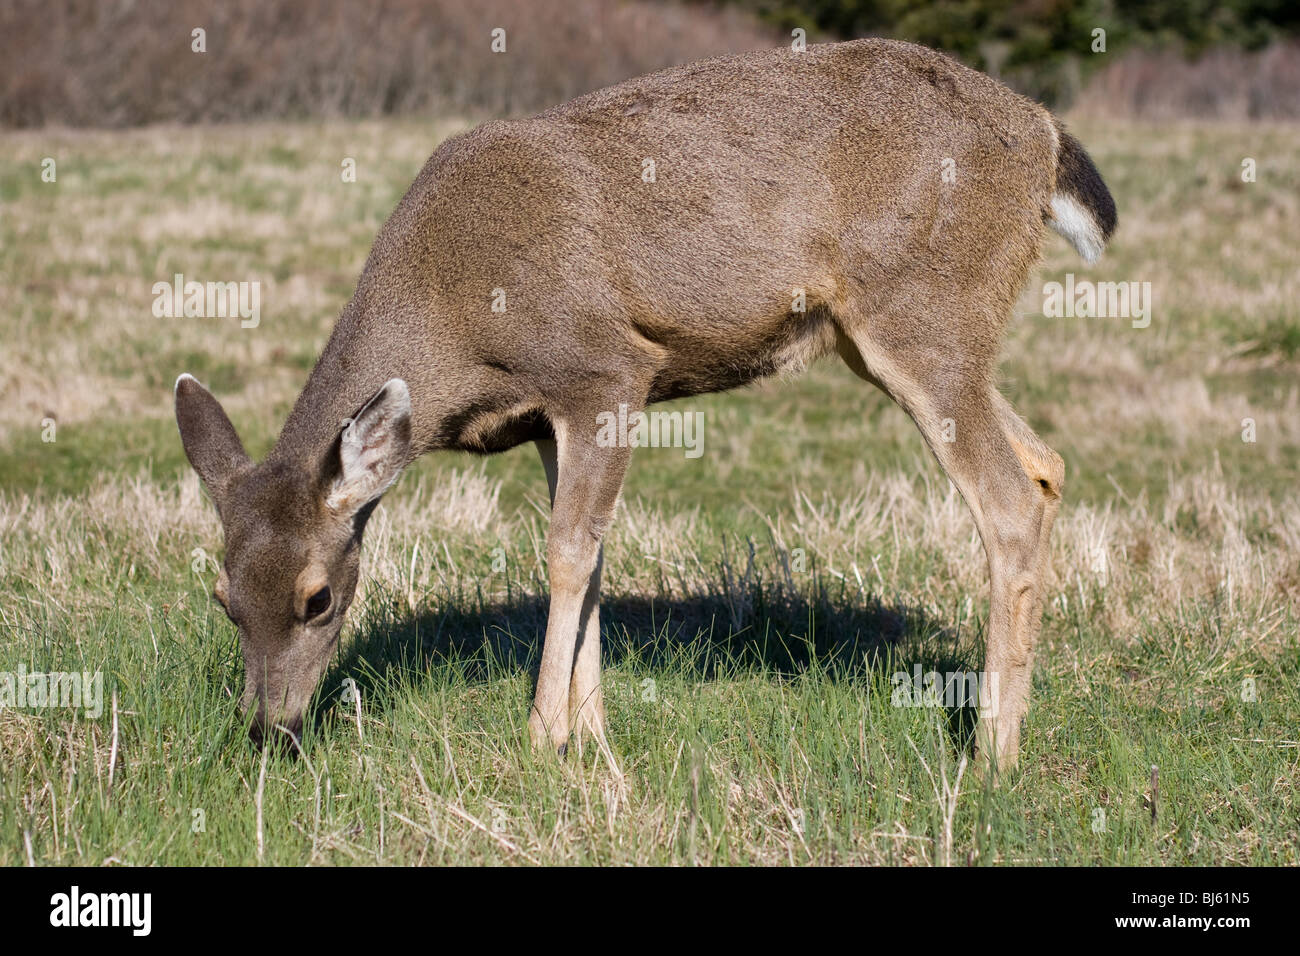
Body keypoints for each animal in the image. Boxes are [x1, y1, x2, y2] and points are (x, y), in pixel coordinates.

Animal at [174, 38, 1115, 774]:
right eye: (222, 599)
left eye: (317, 599)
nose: (269, 733)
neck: (455, 320)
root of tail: (1042, 134)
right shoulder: (545, 415)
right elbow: (589, 555)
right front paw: (593, 737)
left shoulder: (603, 367)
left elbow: (565, 552)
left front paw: (543, 738)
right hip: (898, 336)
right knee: (1046, 464)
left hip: (922, 308)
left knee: (1007, 499)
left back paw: (991, 754)